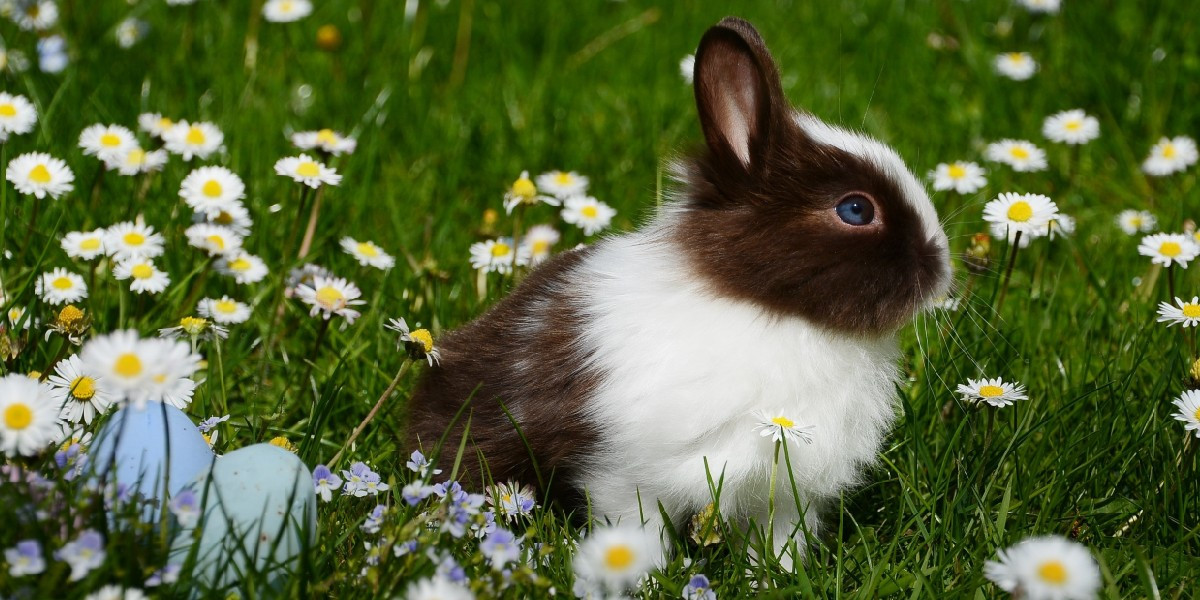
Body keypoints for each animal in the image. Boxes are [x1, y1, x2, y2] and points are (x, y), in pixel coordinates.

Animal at [408, 16, 951, 568]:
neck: (769, 310)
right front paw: (644, 577)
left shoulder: (783, 492)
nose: (942, 267)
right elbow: (635, 534)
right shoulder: (626, 476)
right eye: (856, 210)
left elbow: (778, 542)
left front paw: (772, 577)